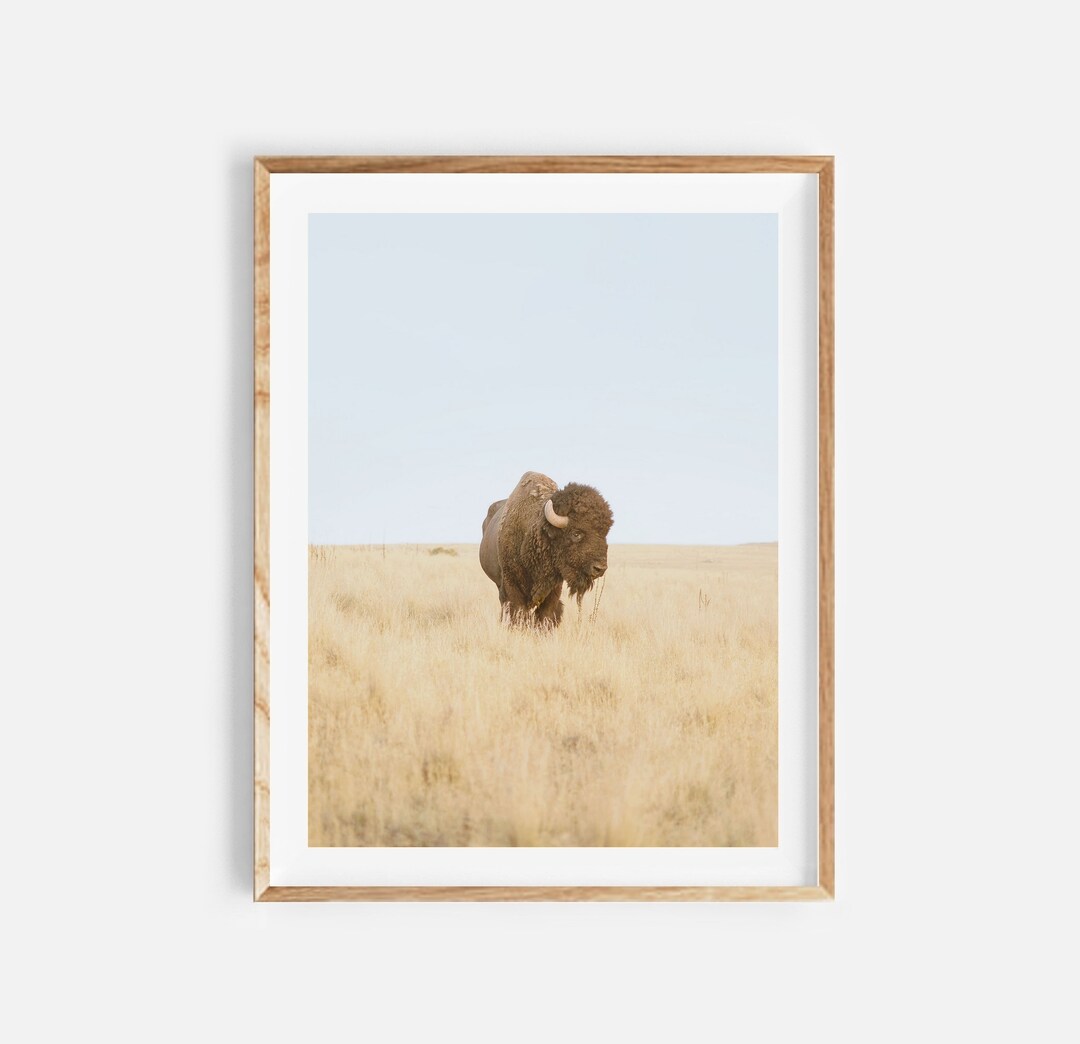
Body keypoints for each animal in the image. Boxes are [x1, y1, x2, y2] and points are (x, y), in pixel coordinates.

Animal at [479, 471, 614, 628]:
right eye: (576, 533)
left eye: (605, 533)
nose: (600, 568)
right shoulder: (511, 584)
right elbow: (518, 613)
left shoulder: (554, 588)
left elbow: (546, 615)